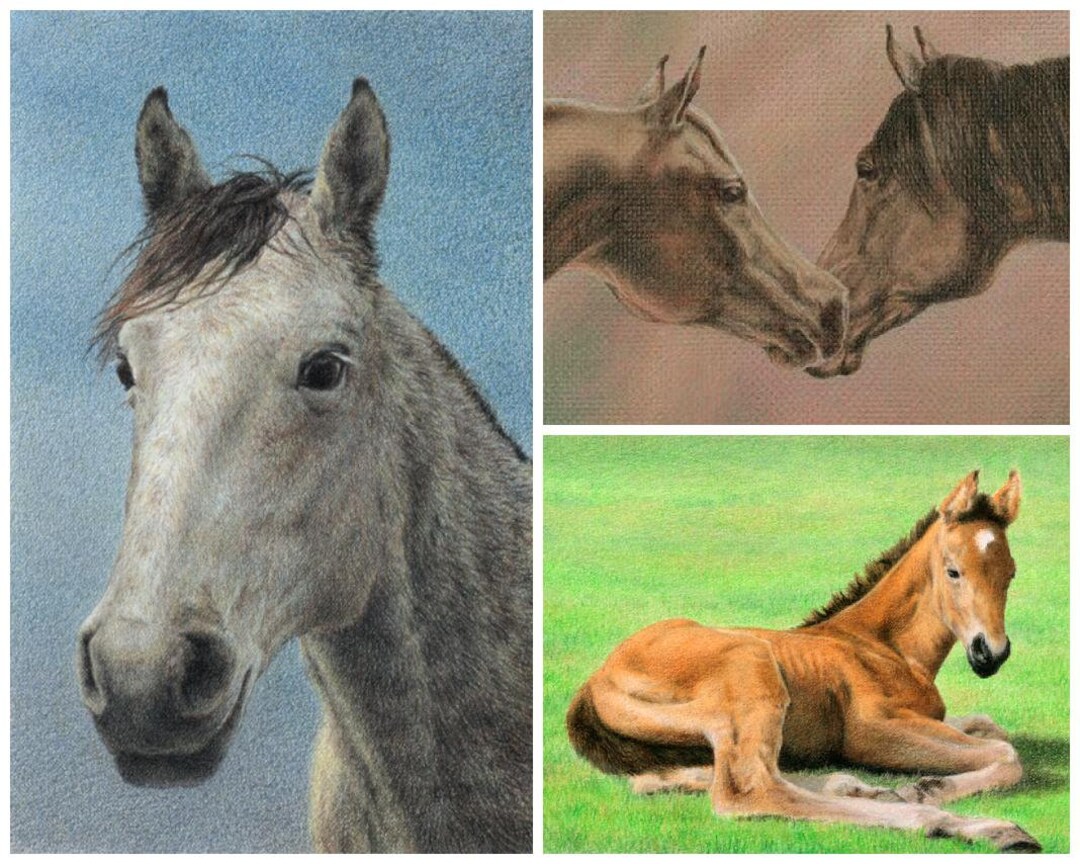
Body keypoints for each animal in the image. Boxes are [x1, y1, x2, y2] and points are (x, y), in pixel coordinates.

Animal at [567, 470, 1040, 852]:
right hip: (754, 671)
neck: (880, 646)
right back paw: (976, 826)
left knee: (660, 780)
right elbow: (1006, 752)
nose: (990, 653)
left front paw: (917, 785)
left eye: (1011, 573)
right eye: (953, 571)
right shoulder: (874, 730)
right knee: (750, 792)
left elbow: (990, 727)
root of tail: (596, 680)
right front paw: (928, 790)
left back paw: (862, 788)